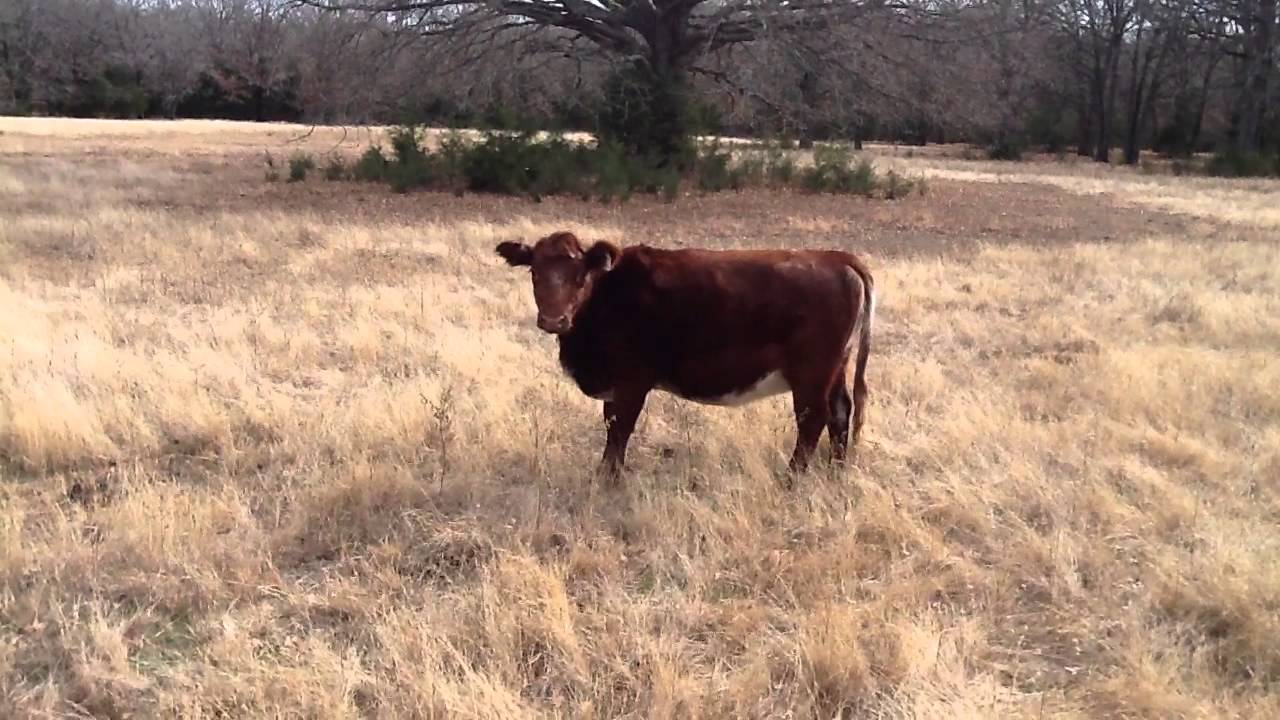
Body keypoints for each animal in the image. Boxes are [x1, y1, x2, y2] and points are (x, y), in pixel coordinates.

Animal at [495, 231, 876, 482]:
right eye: (534, 272)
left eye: (579, 275)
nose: (553, 320)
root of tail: (836, 257)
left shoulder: (632, 381)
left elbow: (619, 429)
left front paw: (608, 477)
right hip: (835, 368)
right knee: (840, 412)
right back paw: (836, 469)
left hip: (812, 372)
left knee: (813, 418)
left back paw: (791, 478)